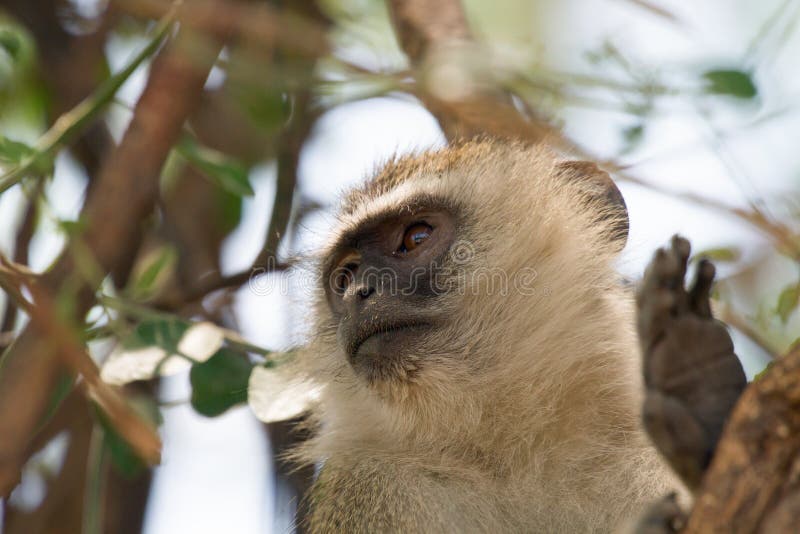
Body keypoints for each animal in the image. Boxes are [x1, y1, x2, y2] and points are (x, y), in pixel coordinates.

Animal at [289, 138, 745, 532]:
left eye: (415, 237)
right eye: (343, 277)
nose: (358, 293)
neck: (519, 446)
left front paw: (701, 398)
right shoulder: (371, 484)